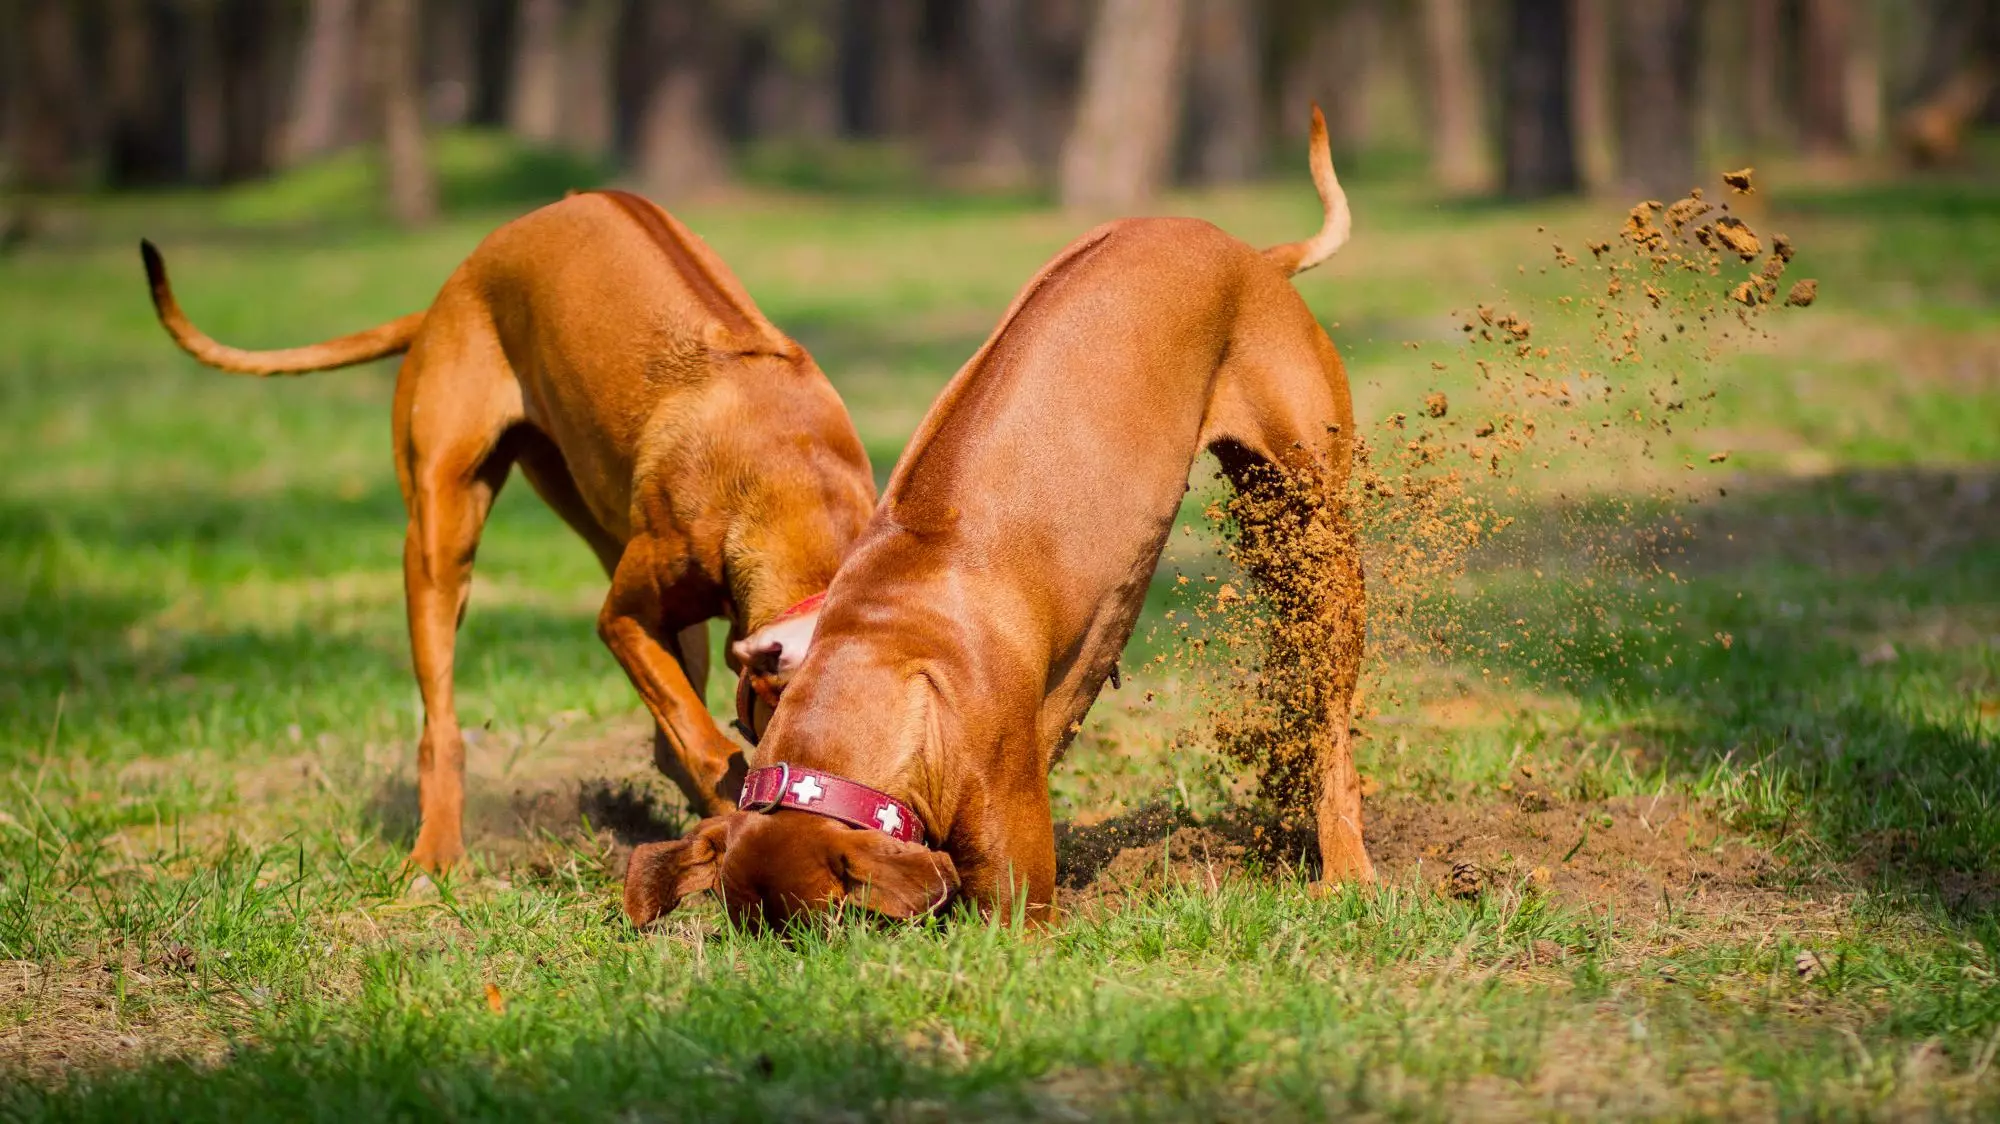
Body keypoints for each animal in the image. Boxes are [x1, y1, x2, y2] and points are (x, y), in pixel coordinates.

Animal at [145, 192, 880, 872]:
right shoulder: (624, 617)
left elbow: (685, 723)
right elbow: (705, 742)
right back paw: (436, 854)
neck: (797, 487)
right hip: (441, 536)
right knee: (441, 725)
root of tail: (450, 290)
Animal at [624, 109, 1376, 924]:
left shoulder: (1015, 880)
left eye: (821, 931)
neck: (889, 648)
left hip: (1318, 540)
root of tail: (1254, 257)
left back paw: (1347, 866)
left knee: (1333, 725)